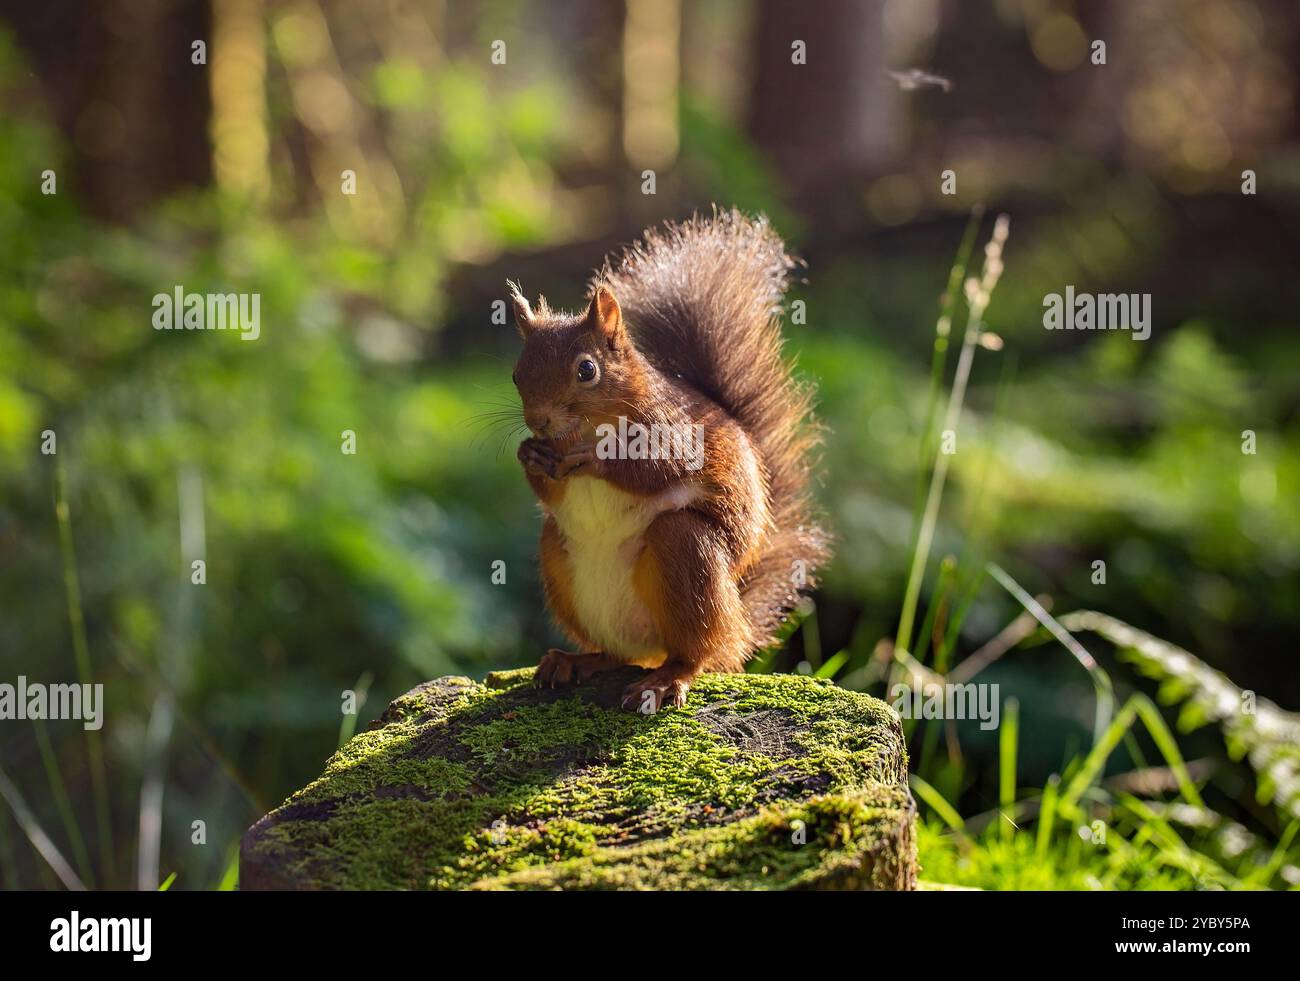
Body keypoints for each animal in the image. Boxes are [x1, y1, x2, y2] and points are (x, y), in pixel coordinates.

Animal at [509, 209, 829, 711]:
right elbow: (551, 488)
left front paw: (595, 456)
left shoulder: (676, 429)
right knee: (616, 654)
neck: (586, 427)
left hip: (685, 551)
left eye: (587, 369)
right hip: (556, 556)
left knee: (695, 654)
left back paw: (666, 679)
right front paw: (528, 454)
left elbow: (657, 466)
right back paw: (574, 661)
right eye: (516, 374)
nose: (538, 422)